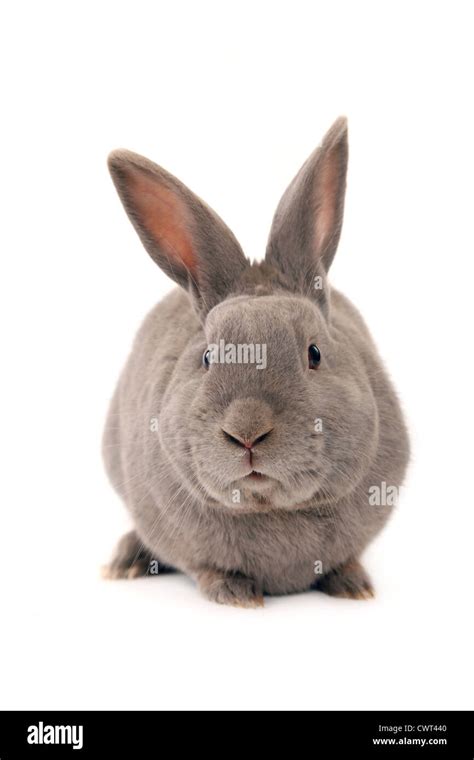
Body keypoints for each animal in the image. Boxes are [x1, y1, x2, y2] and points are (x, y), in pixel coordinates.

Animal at [102, 117, 409, 607]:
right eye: (207, 357)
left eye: (314, 354)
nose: (246, 432)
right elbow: (206, 567)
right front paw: (236, 594)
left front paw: (354, 585)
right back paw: (126, 562)